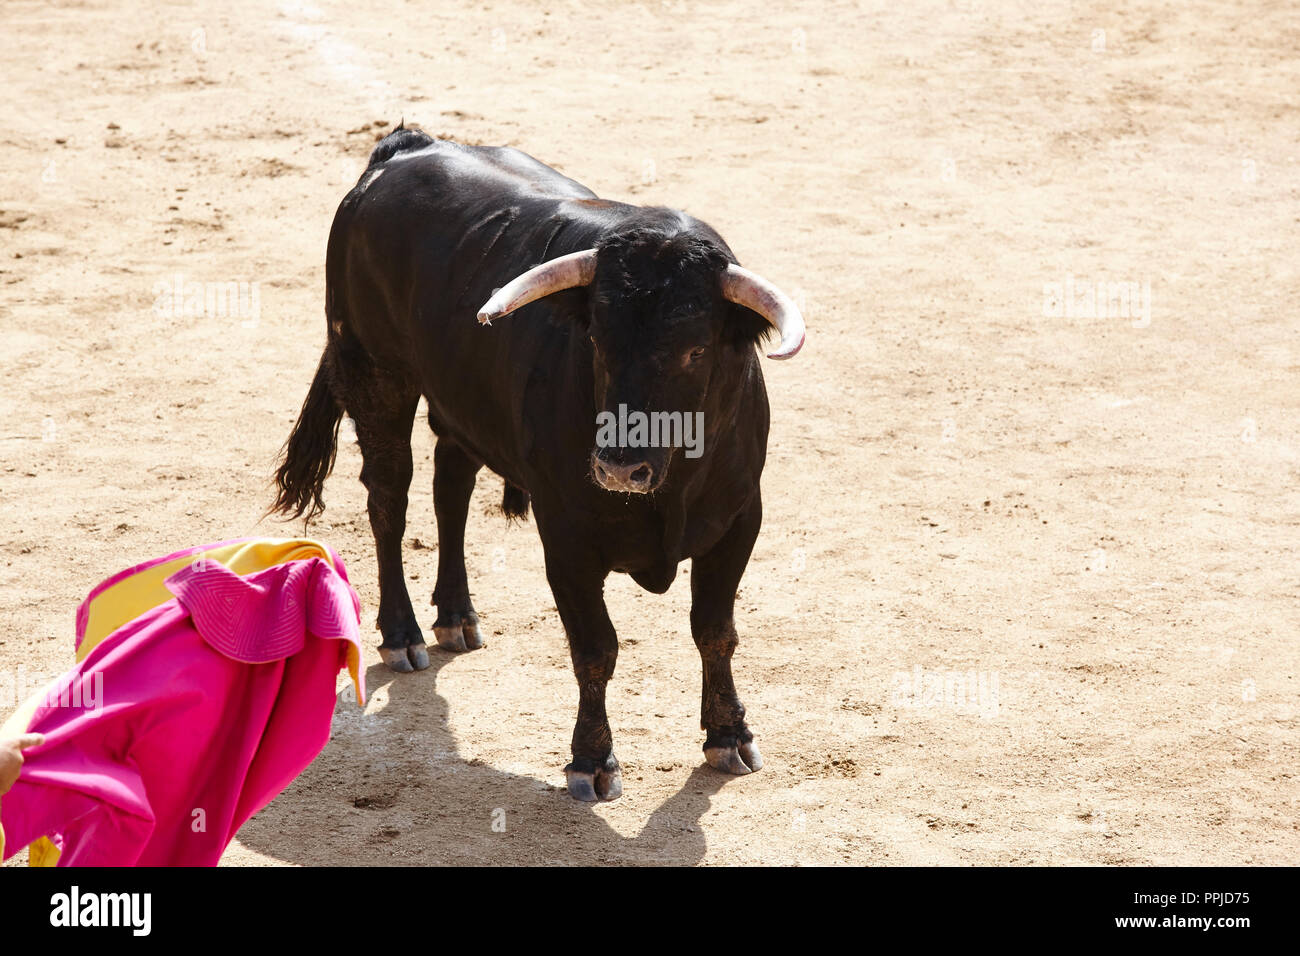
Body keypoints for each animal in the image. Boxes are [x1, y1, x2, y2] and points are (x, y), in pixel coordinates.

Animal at [272, 125, 805, 801]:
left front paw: (729, 736)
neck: (671, 487)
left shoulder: (738, 521)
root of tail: (405, 147)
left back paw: (456, 617)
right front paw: (592, 762)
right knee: (389, 499)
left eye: (695, 349)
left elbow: (715, 630)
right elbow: (595, 648)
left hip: (462, 401)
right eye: (597, 339)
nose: (619, 470)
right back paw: (404, 635)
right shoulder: (567, 537)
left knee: (451, 485)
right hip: (374, 373)